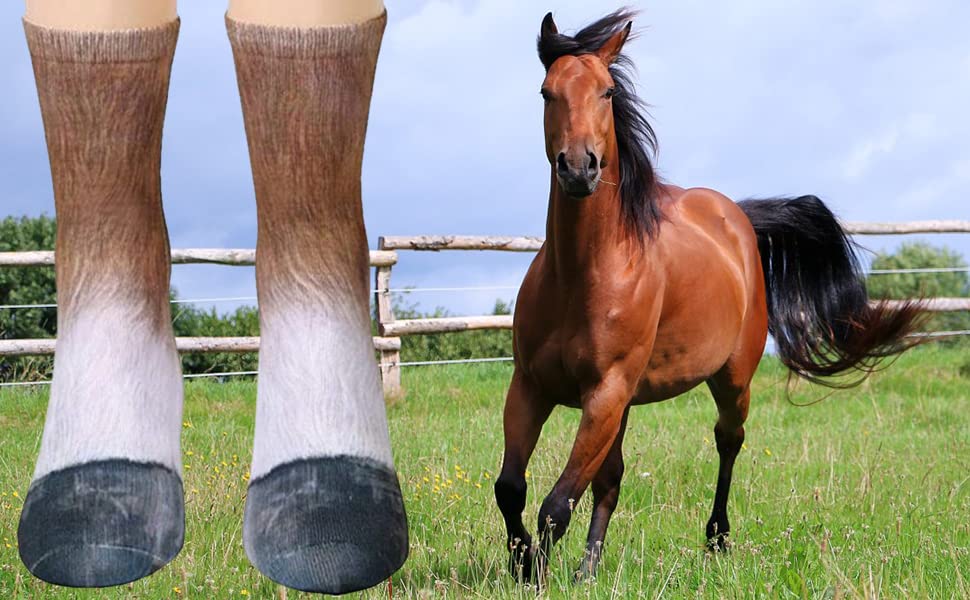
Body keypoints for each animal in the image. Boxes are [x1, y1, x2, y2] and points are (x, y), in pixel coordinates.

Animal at [493, 9, 923, 583]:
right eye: (547, 92)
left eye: (607, 92)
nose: (579, 167)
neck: (582, 274)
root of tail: (736, 216)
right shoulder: (533, 387)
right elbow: (511, 488)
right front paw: (524, 564)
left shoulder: (604, 394)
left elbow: (556, 505)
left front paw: (535, 574)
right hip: (624, 404)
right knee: (611, 479)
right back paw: (590, 568)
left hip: (731, 378)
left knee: (728, 441)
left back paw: (717, 539)